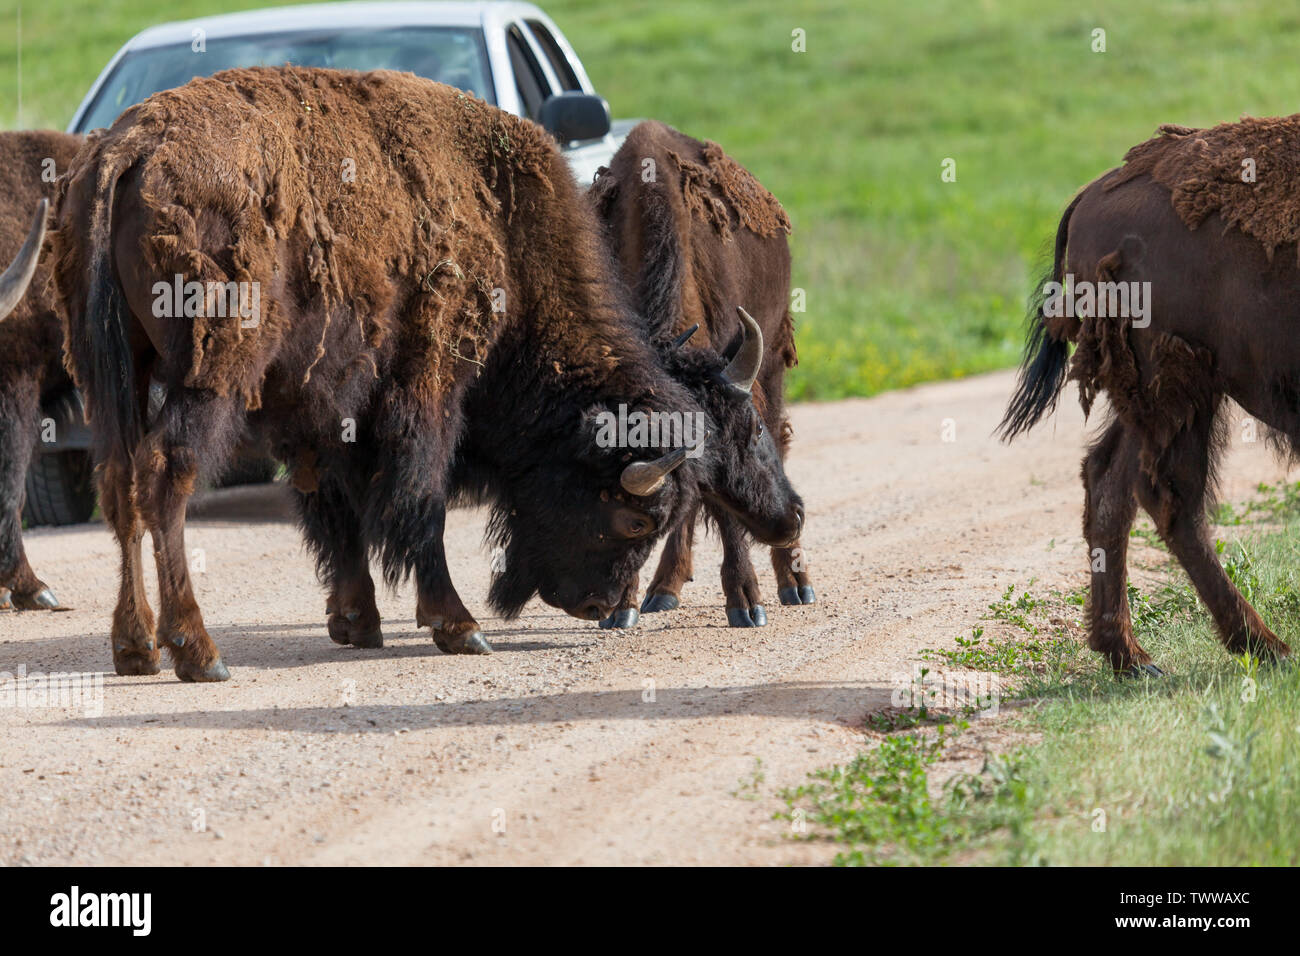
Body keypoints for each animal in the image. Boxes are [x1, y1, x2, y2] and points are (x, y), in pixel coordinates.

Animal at [587, 121, 814, 628]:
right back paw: (664, 590)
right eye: (702, 475)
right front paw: (623, 604)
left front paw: (747, 603)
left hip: (773, 360)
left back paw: (796, 581)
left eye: (752, 431)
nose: (789, 520)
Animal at [999, 116, 1300, 675]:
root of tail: (1091, 195)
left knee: (1109, 481)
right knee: (1172, 498)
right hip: (1181, 388)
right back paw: (1265, 646)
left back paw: (1130, 656)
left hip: (1152, 396)